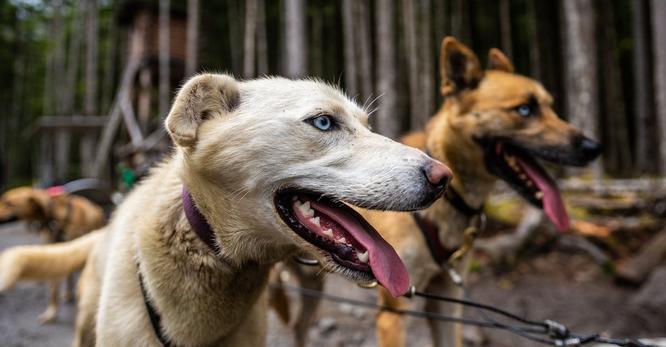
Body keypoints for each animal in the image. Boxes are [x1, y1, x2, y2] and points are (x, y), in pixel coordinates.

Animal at [0, 188, 105, 324]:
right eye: (3, 200)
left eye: (9, 203)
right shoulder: (56, 252)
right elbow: (53, 288)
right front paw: (51, 313)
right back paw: (69, 294)